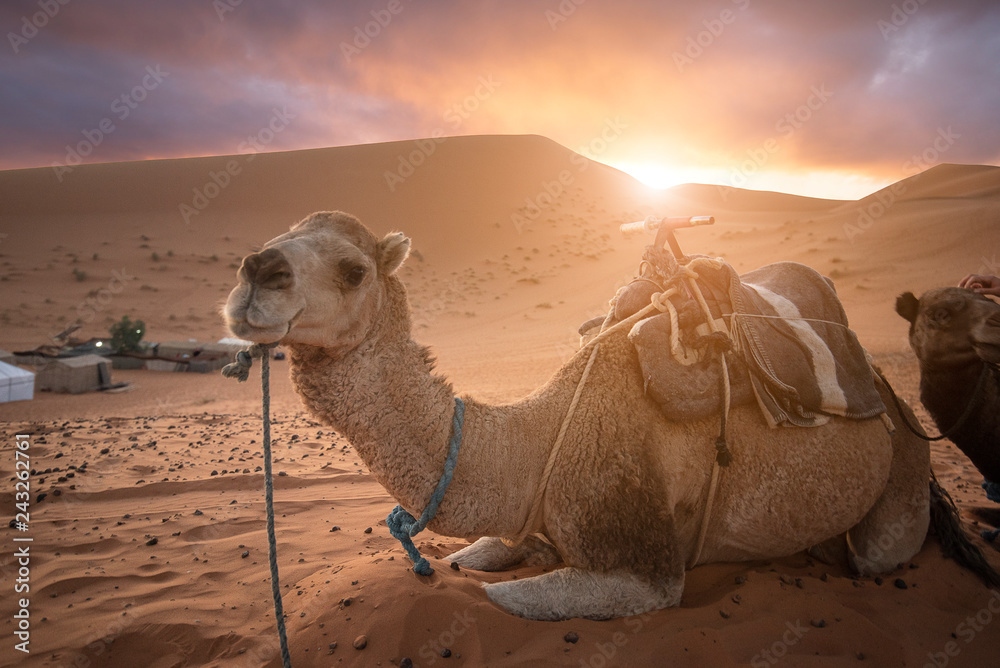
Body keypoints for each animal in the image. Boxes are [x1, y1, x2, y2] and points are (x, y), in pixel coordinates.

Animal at [224, 210, 934, 621]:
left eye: (352, 270)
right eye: (271, 242)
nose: (257, 271)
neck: (537, 440)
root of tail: (883, 386)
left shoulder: (645, 571)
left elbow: (503, 597)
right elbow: (474, 560)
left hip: (902, 473)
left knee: (877, 553)